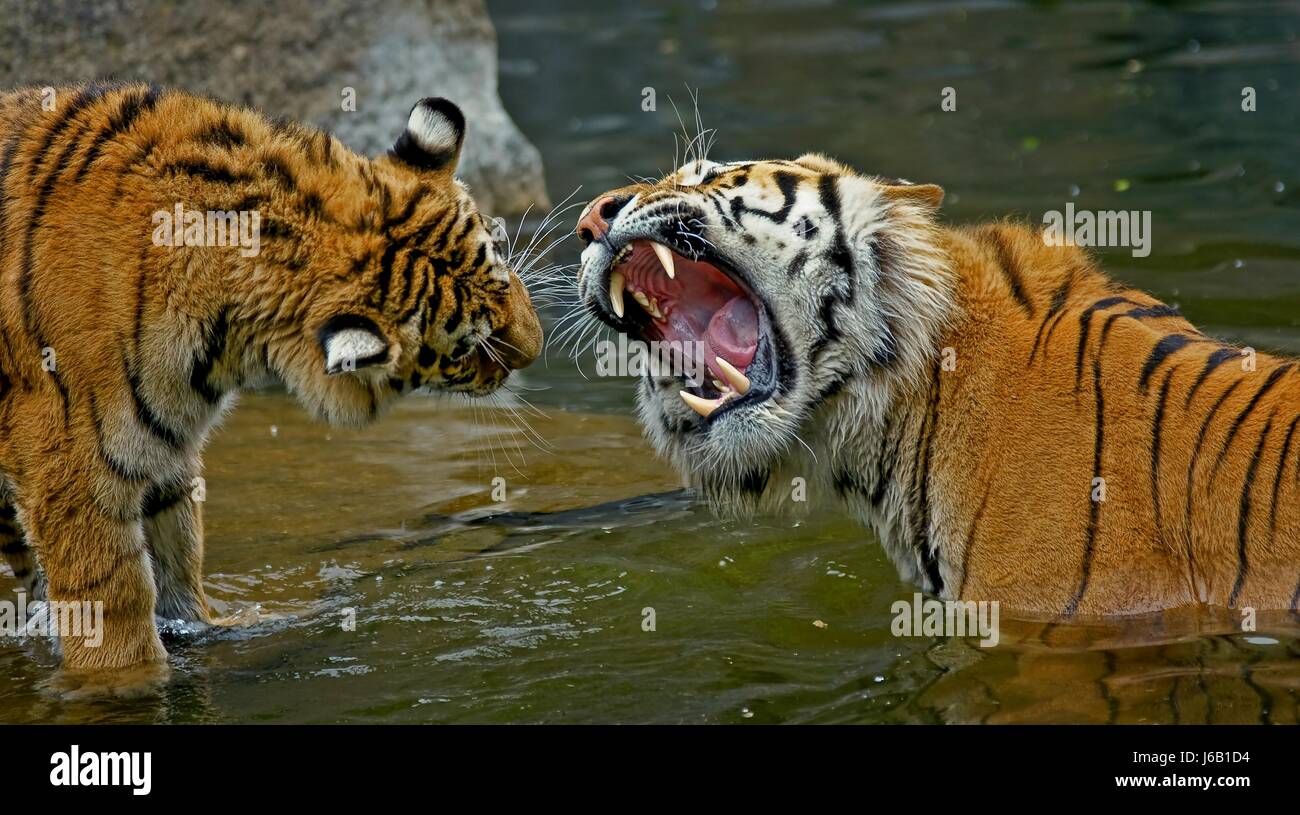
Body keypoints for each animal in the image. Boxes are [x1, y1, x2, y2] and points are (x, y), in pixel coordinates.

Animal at [0, 81, 542, 695]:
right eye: (471, 346)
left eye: (502, 274)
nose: (537, 346)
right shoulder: (74, 475)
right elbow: (111, 603)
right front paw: (125, 682)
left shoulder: (160, 449)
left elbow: (177, 564)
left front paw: (215, 628)